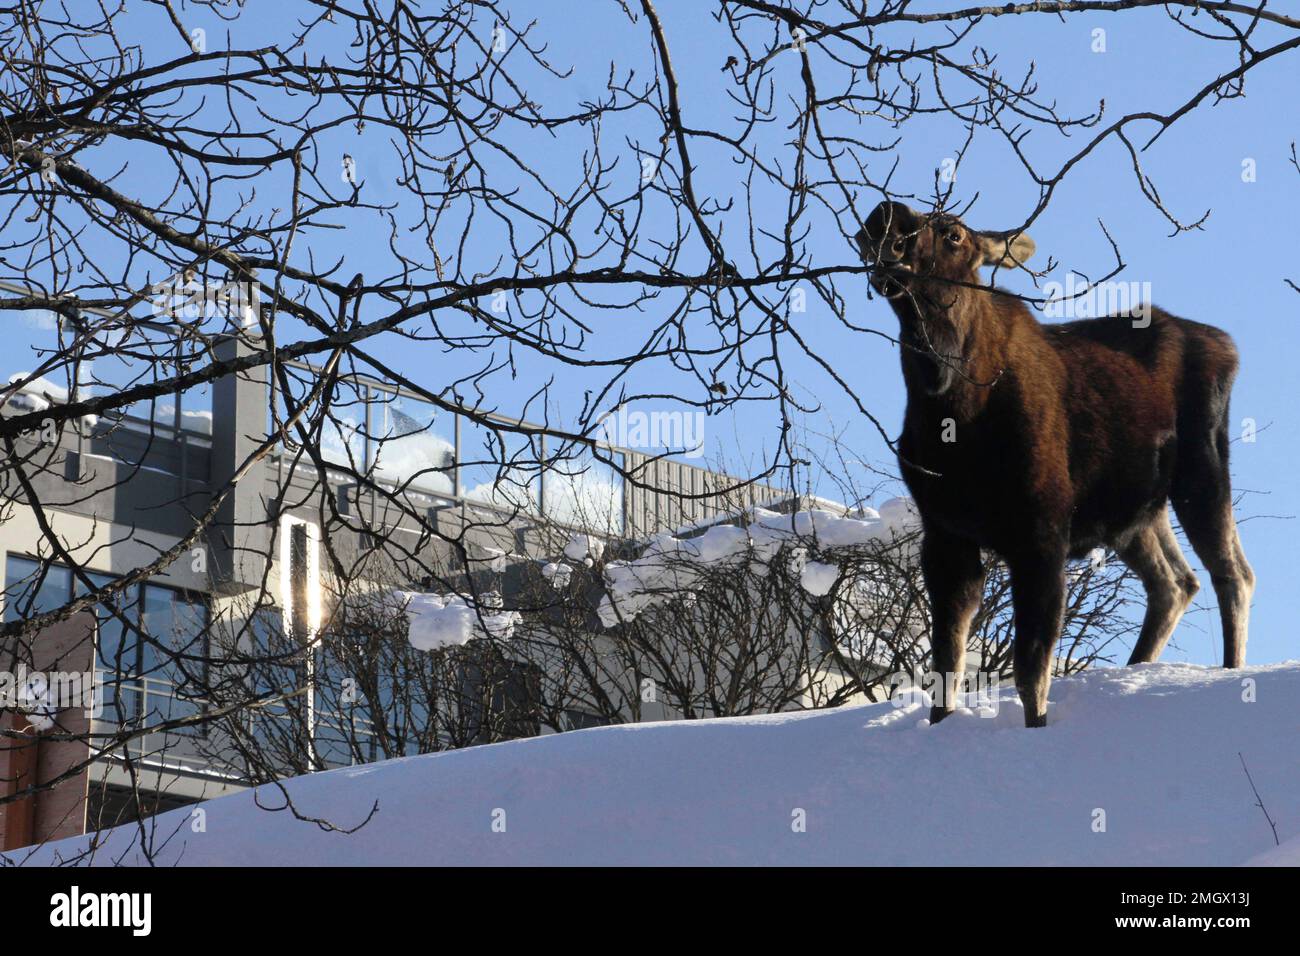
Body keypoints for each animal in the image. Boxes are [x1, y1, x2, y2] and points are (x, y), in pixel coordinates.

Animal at [855, 201, 1254, 728]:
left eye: (954, 233)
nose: (887, 216)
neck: (949, 406)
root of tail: (1226, 344)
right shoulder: (946, 536)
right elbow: (945, 667)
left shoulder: (1041, 534)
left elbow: (1030, 671)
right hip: (1135, 513)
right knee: (1174, 581)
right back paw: (1136, 669)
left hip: (1202, 467)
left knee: (1233, 573)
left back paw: (1231, 671)